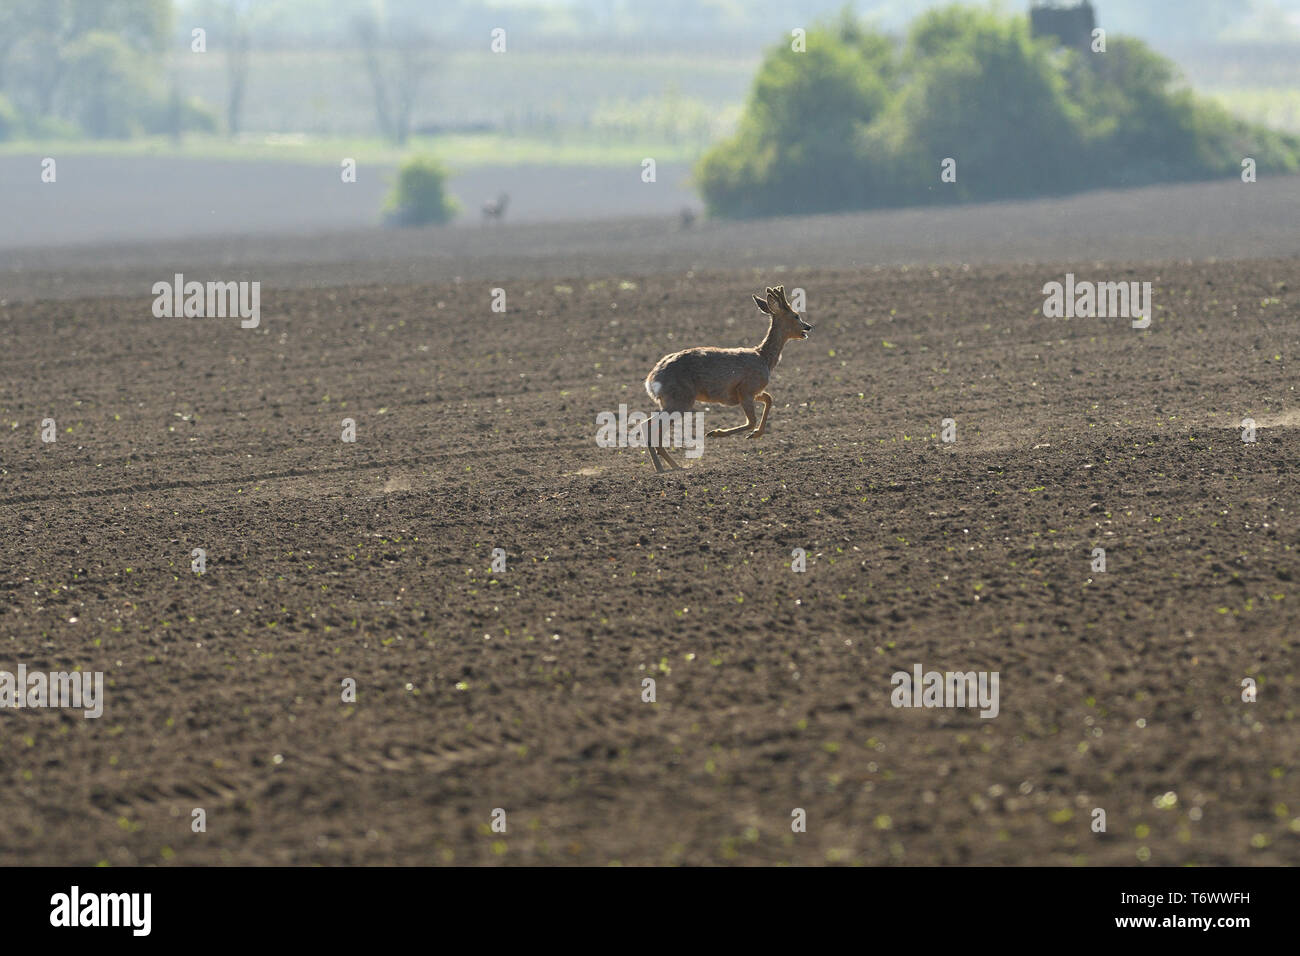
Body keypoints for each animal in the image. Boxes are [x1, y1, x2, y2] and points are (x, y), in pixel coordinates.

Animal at [637, 285, 812, 472]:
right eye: (796, 315)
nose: (808, 327)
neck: (764, 357)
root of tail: (651, 380)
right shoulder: (746, 389)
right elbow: (751, 420)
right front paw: (717, 433)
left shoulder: (750, 392)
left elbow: (769, 399)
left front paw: (756, 434)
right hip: (679, 399)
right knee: (648, 425)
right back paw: (662, 469)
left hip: (672, 401)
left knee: (653, 427)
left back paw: (673, 467)